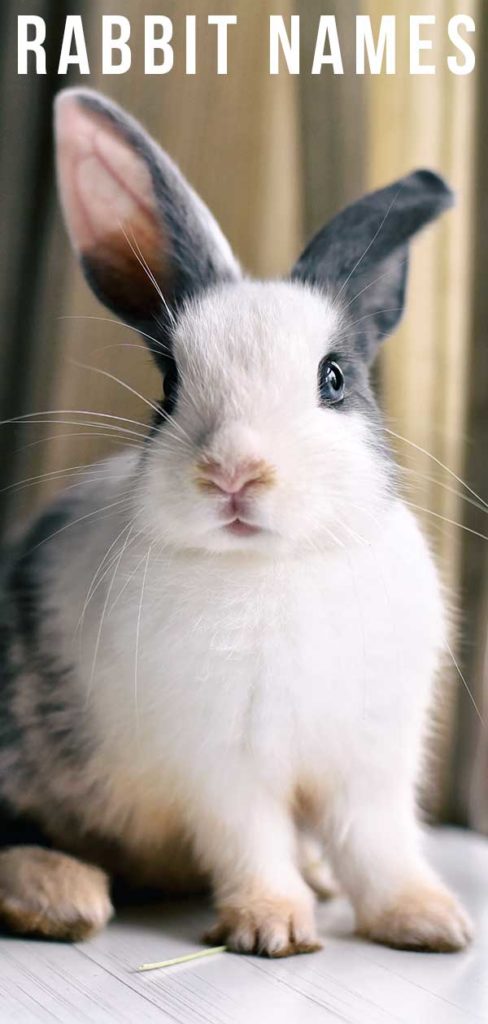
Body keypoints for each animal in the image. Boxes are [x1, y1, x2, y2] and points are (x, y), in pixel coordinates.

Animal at [0, 87, 473, 956]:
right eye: (169, 385)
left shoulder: (370, 761)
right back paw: (64, 894)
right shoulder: (222, 765)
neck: (274, 566)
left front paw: (429, 923)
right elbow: (251, 841)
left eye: (334, 379)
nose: (234, 473)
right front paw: (274, 927)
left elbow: (380, 845)